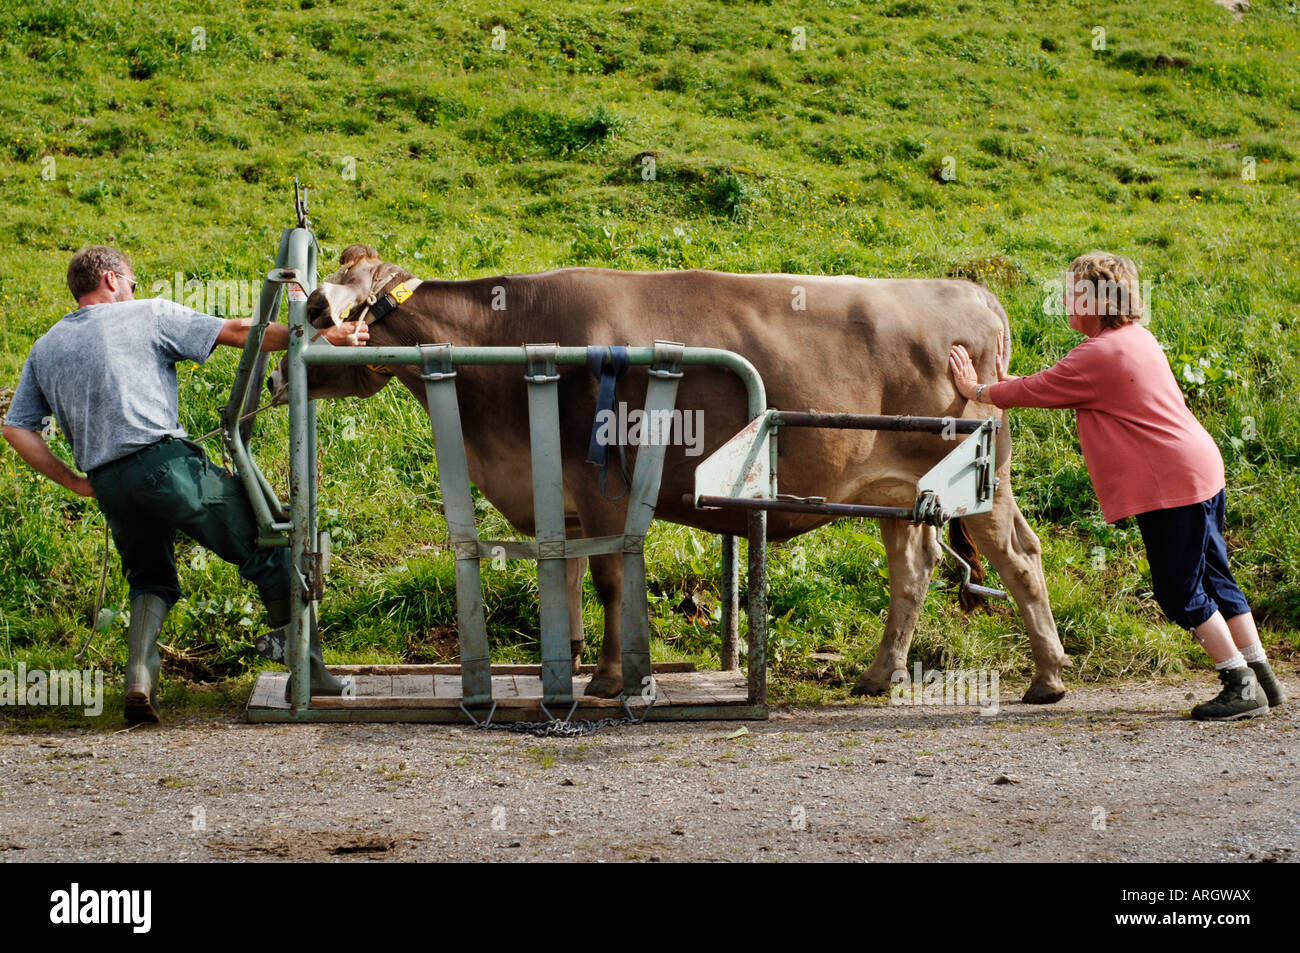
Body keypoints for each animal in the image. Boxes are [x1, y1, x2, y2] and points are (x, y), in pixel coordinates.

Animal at [268, 244, 1070, 704]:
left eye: (316, 312)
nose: (277, 375)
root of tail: (974, 294)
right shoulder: (558, 487)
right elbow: (564, 576)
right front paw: (573, 662)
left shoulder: (604, 487)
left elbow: (610, 579)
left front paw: (610, 677)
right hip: (899, 486)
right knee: (914, 566)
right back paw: (880, 673)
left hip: (984, 476)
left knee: (1020, 557)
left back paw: (1049, 676)